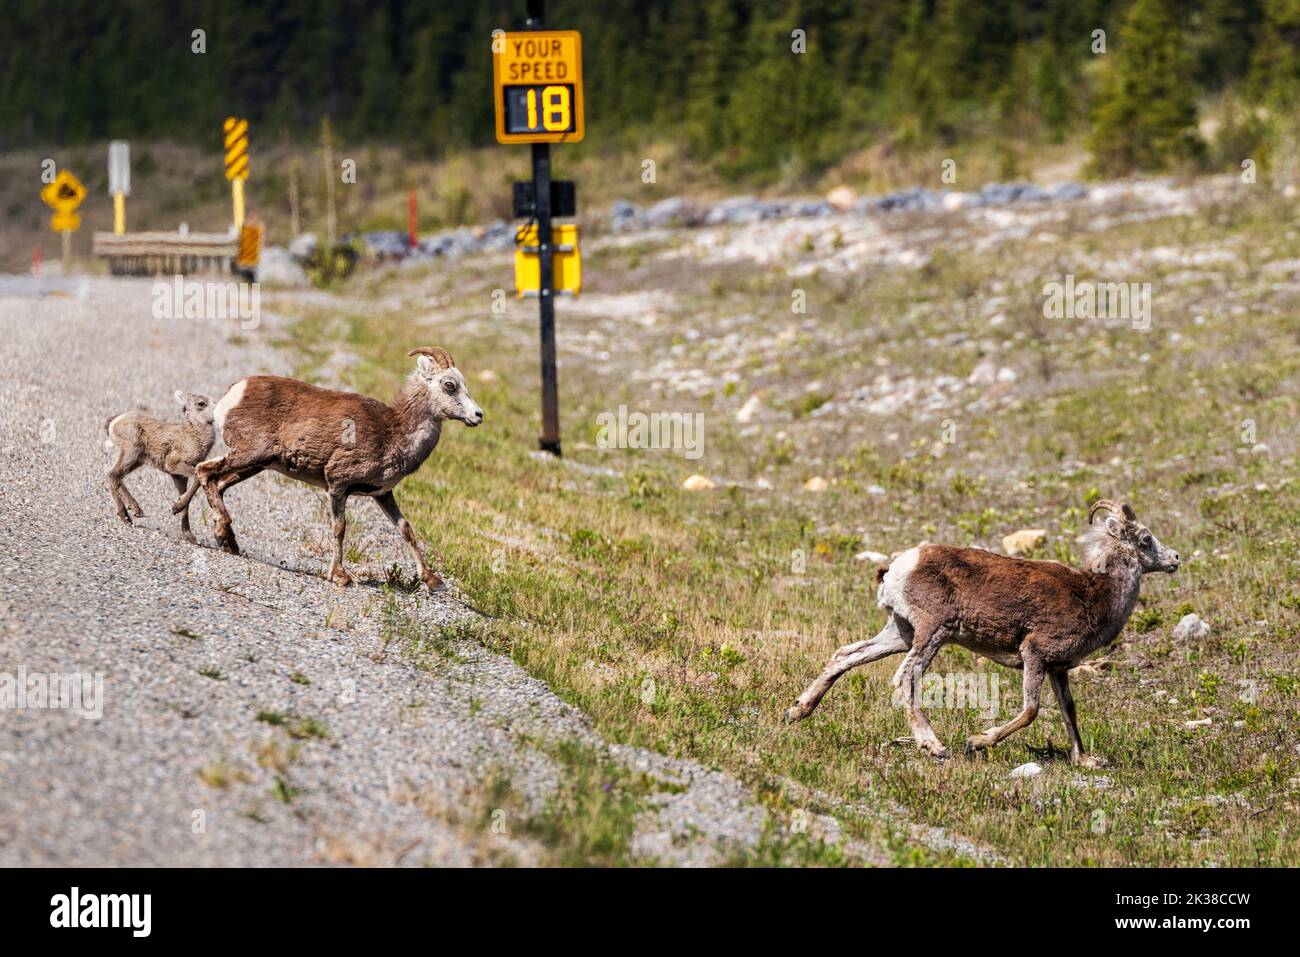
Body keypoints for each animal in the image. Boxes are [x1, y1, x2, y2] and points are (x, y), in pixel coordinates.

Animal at [105, 391, 216, 544]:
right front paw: (175, 508)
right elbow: (197, 480)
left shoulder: (178, 476)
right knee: (113, 475)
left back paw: (126, 516)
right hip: (132, 452)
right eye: (201, 403)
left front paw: (190, 536)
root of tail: (115, 421)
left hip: (137, 460)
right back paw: (136, 511)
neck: (194, 437)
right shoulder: (174, 464)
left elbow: (186, 499)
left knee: (113, 475)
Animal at [173, 346, 482, 590]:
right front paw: (340, 576)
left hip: (256, 464)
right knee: (205, 471)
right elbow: (340, 528)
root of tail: (235, 392)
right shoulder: (338, 486)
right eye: (449, 385)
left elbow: (406, 529)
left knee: (216, 481)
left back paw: (216, 535)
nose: (478, 415)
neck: (394, 433)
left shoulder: (382, 494)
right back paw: (215, 530)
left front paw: (433, 581)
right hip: (249, 454)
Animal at [785, 500, 1180, 766]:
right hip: (932, 633)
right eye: (1145, 539)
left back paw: (796, 712)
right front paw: (976, 742)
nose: (1175, 559)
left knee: (846, 655)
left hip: (900, 633)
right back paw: (936, 747)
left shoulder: (1058, 669)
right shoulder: (1034, 655)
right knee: (905, 678)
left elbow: (1069, 711)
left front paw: (1085, 761)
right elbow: (1032, 710)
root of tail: (898, 567)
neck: (1095, 594)